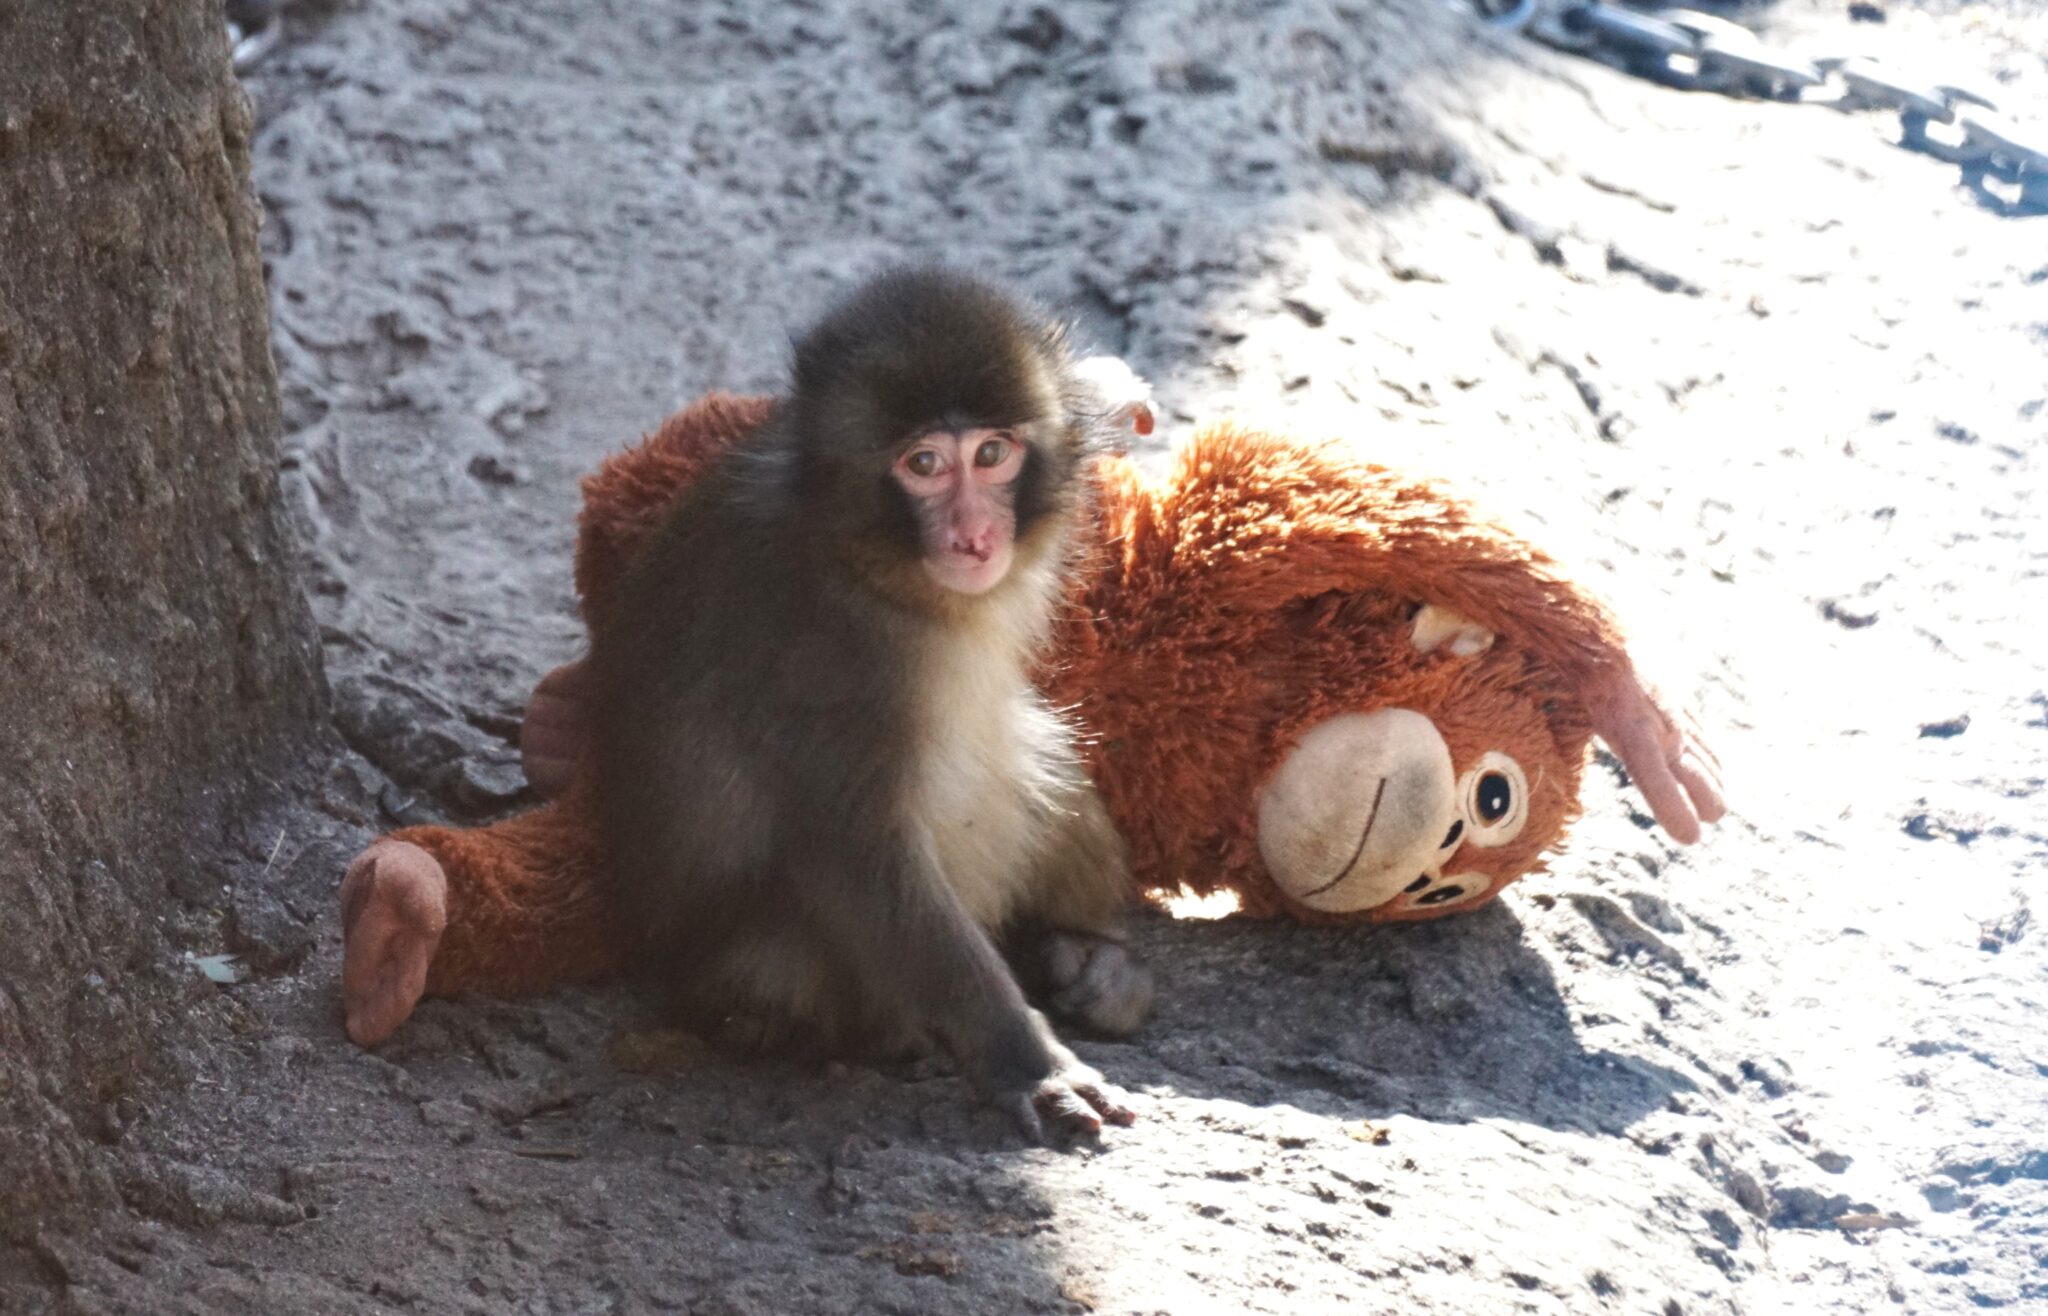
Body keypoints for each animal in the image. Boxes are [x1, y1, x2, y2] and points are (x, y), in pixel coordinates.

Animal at [587, 268, 1151, 1142]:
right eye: (923, 464)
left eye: (992, 454)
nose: (974, 538)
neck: (868, 558)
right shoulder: (823, 651)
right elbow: (853, 850)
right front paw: (1029, 1061)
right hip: (773, 968)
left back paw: (1087, 952)